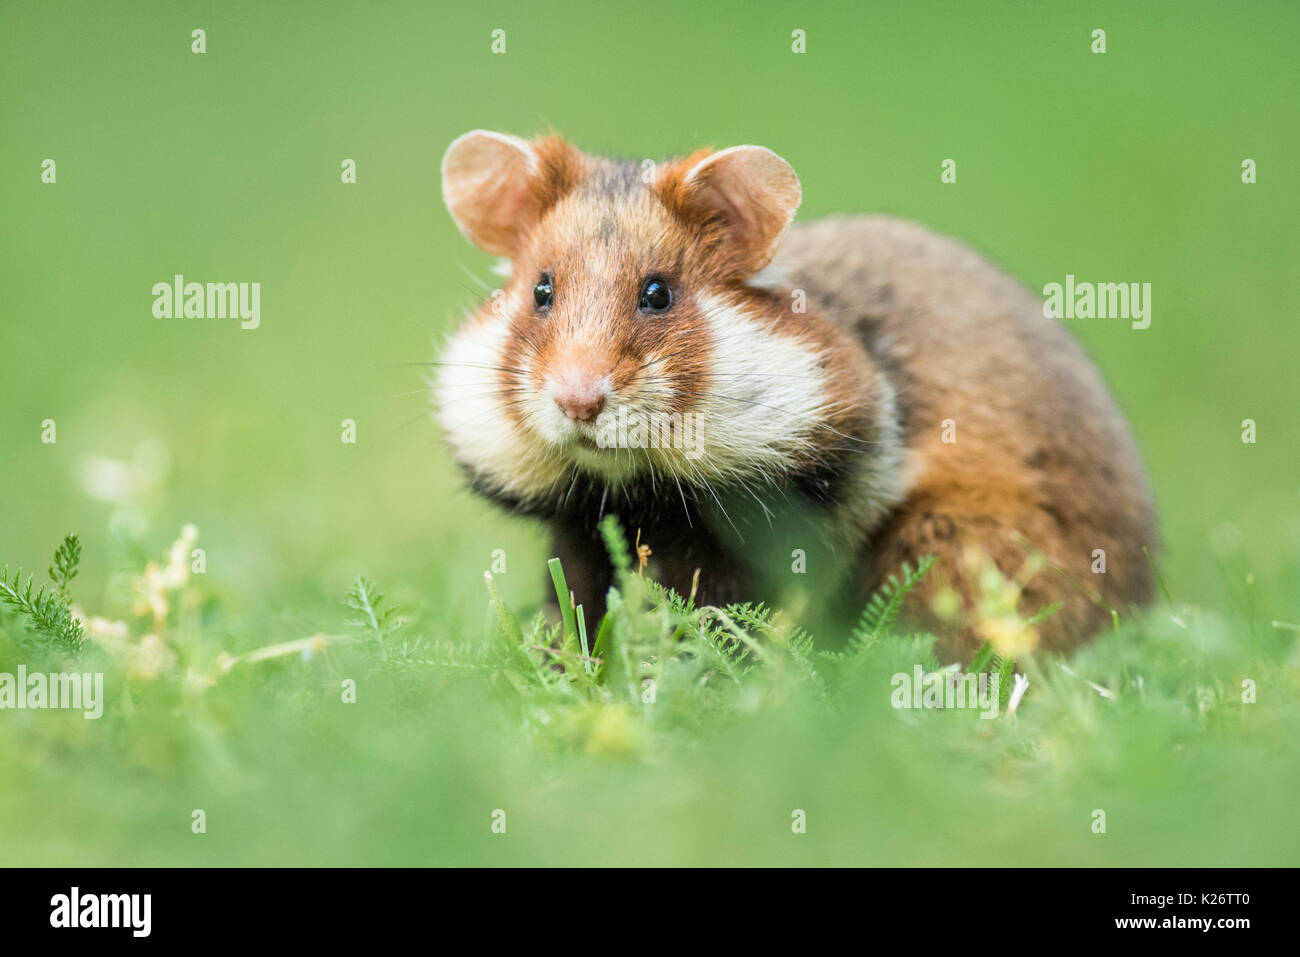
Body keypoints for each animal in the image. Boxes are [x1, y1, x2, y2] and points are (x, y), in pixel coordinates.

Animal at [434, 130, 1157, 659]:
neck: (641, 489)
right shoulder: (580, 531)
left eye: (658, 293)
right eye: (541, 291)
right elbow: (579, 608)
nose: (578, 401)